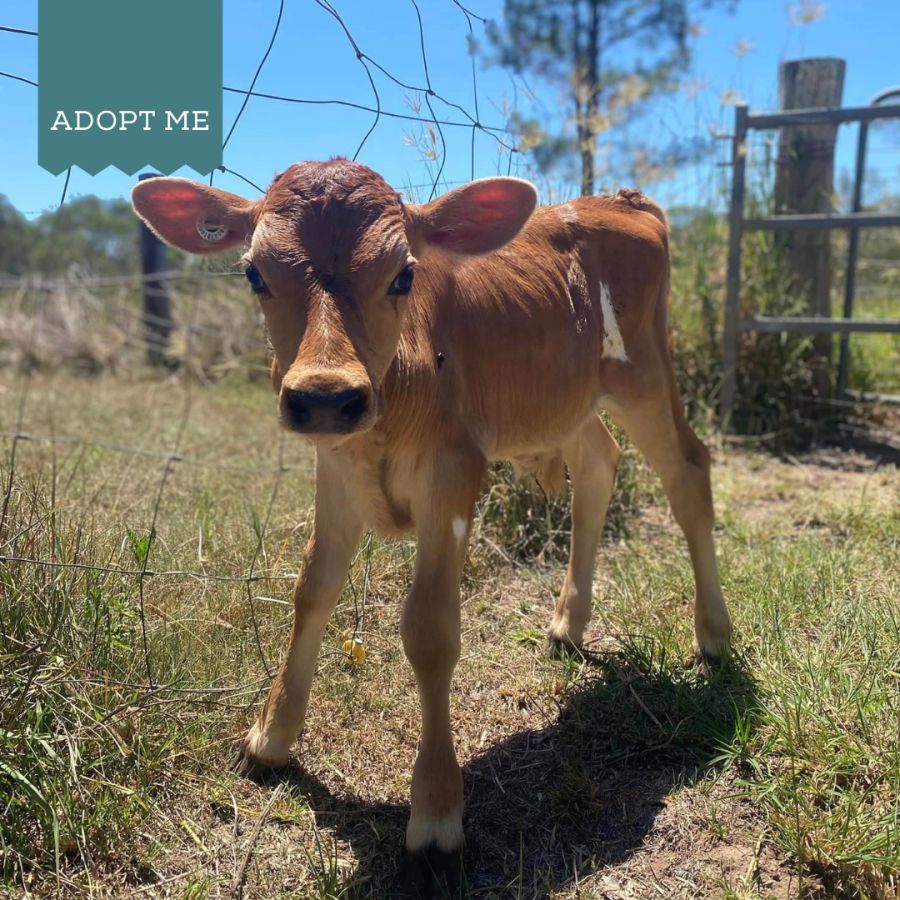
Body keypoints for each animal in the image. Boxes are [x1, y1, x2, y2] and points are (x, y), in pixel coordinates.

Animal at [131, 159, 732, 875]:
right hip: (567, 398)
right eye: (254, 274)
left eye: (403, 274)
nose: (325, 396)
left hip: (644, 371)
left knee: (688, 469)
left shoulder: (453, 471)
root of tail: (620, 200)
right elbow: (312, 589)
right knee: (598, 464)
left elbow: (429, 630)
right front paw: (271, 736)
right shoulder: (334, 468)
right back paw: (568, 622)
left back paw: (714, 635)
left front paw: (438, 809)